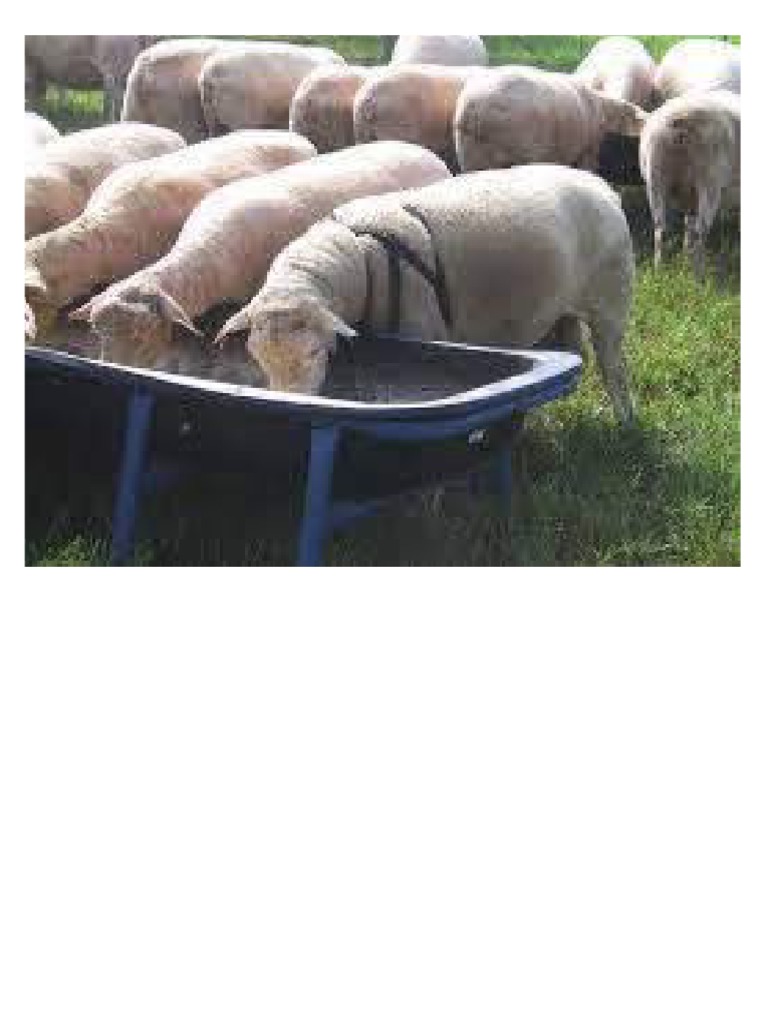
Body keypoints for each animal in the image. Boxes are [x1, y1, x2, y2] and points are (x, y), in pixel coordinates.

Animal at [25, 35, 158, 122]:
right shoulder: (38, 67)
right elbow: (38, 94)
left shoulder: (30, 62)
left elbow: (31, 92)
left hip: (115, 67)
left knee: (116, 105)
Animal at [215, 164, 636, 423]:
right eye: (258, 357)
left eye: (314, 353)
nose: (289, 405)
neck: (361, 260)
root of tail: (600, 186)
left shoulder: (422, 333)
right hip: (560, 306)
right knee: (576, 350)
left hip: (610, 299)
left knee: (613, 366)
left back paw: (625, 422)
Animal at [639, 89, 740, 277]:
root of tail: (682, 119)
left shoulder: (689, 197)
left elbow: (688, 227)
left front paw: (685, 258)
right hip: (709, 180)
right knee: (702, 229)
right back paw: (698, 275)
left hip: (655, 176)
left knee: (660, 227)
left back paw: (660, 270)